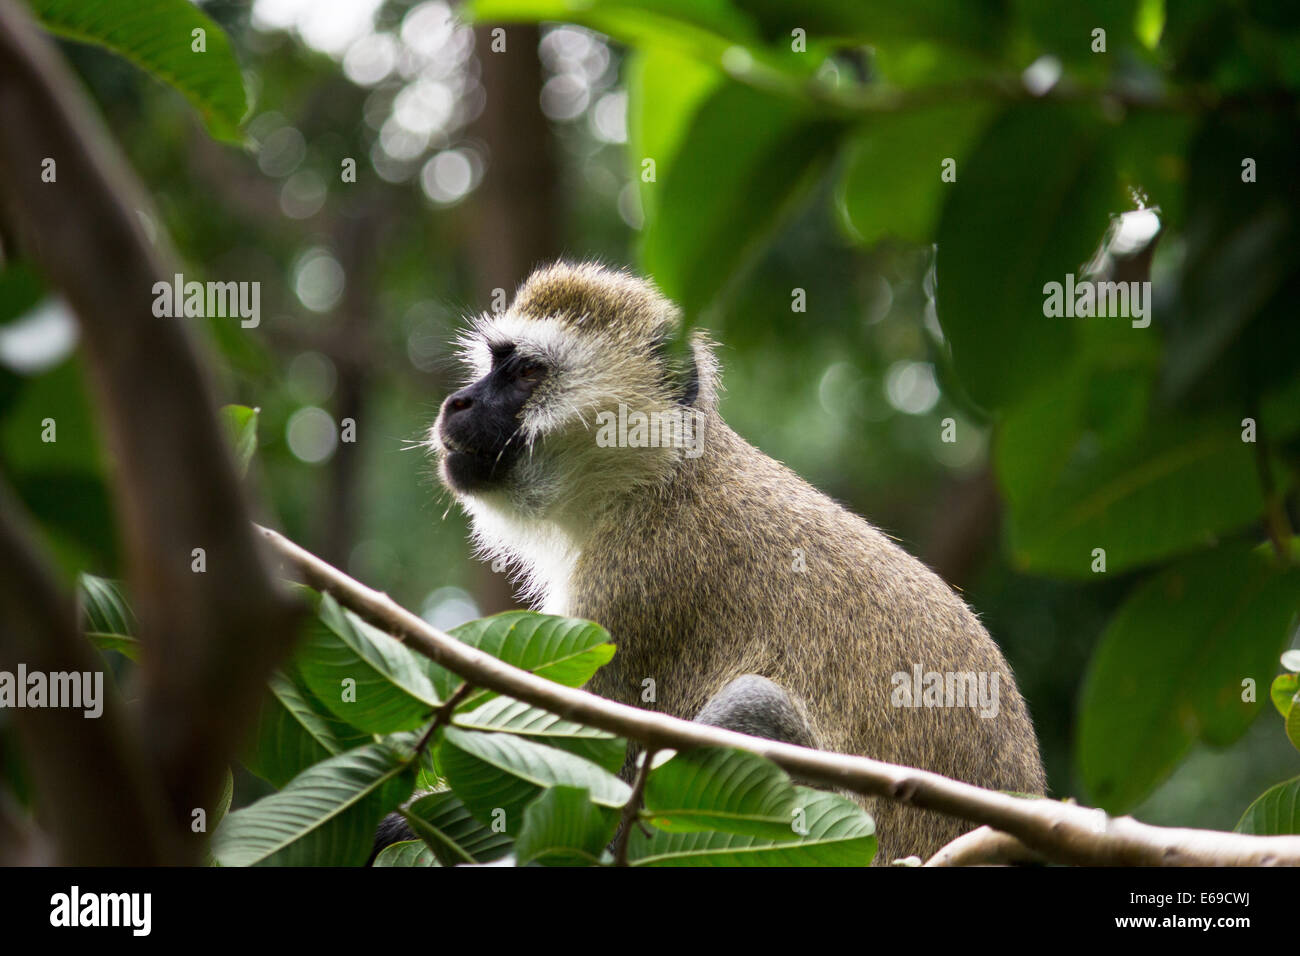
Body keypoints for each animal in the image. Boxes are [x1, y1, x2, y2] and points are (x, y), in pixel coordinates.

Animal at [403, 260, 1045, 864]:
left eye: (528, 372)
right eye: (494, 363)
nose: (458, 401)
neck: (656, 481)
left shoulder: (633, 587)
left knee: (753, 704)